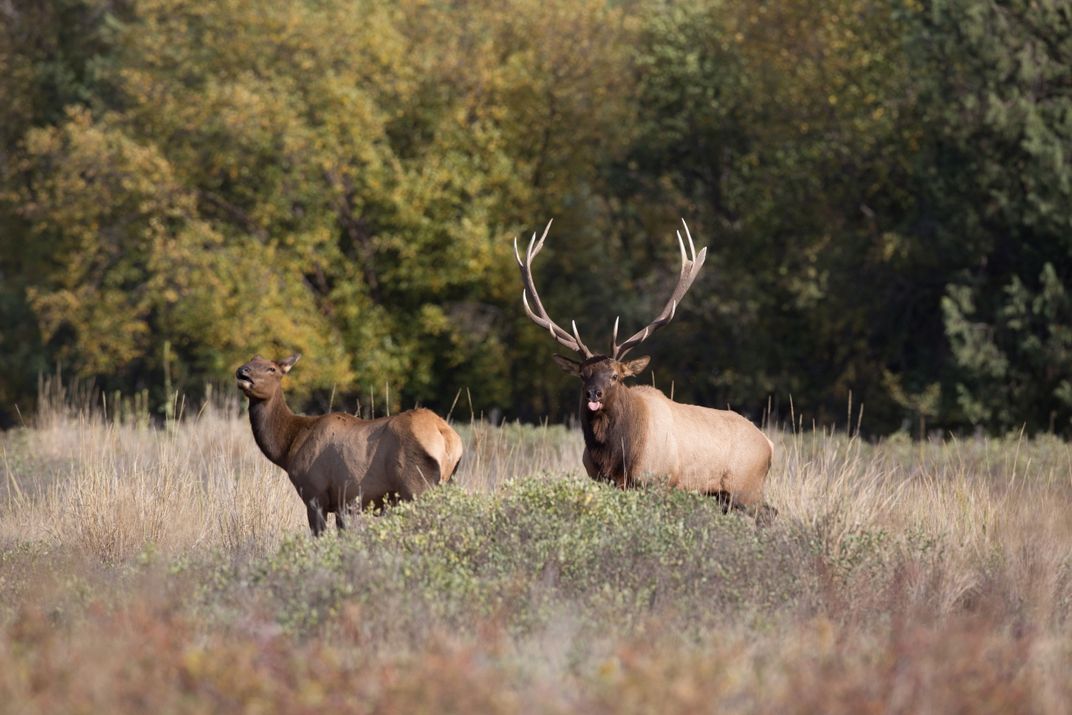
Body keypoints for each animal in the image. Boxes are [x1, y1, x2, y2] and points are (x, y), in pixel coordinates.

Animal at [235, 353, 463, 535]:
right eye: (252, 359)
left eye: (272, 368)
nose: (242, 370)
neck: (289, 447)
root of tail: (448, 438)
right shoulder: (343, 503)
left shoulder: (314, 493)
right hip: (447, 482)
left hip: (417, 487)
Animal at [516, 219, 776, 522]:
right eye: (582, 375)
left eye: (616, 376)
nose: (594, 394)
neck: (614, 457)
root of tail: (768, 444)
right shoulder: (601, 481)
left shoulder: (655, 482)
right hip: (724, 496)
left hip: (746, 489)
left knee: (770, 514)